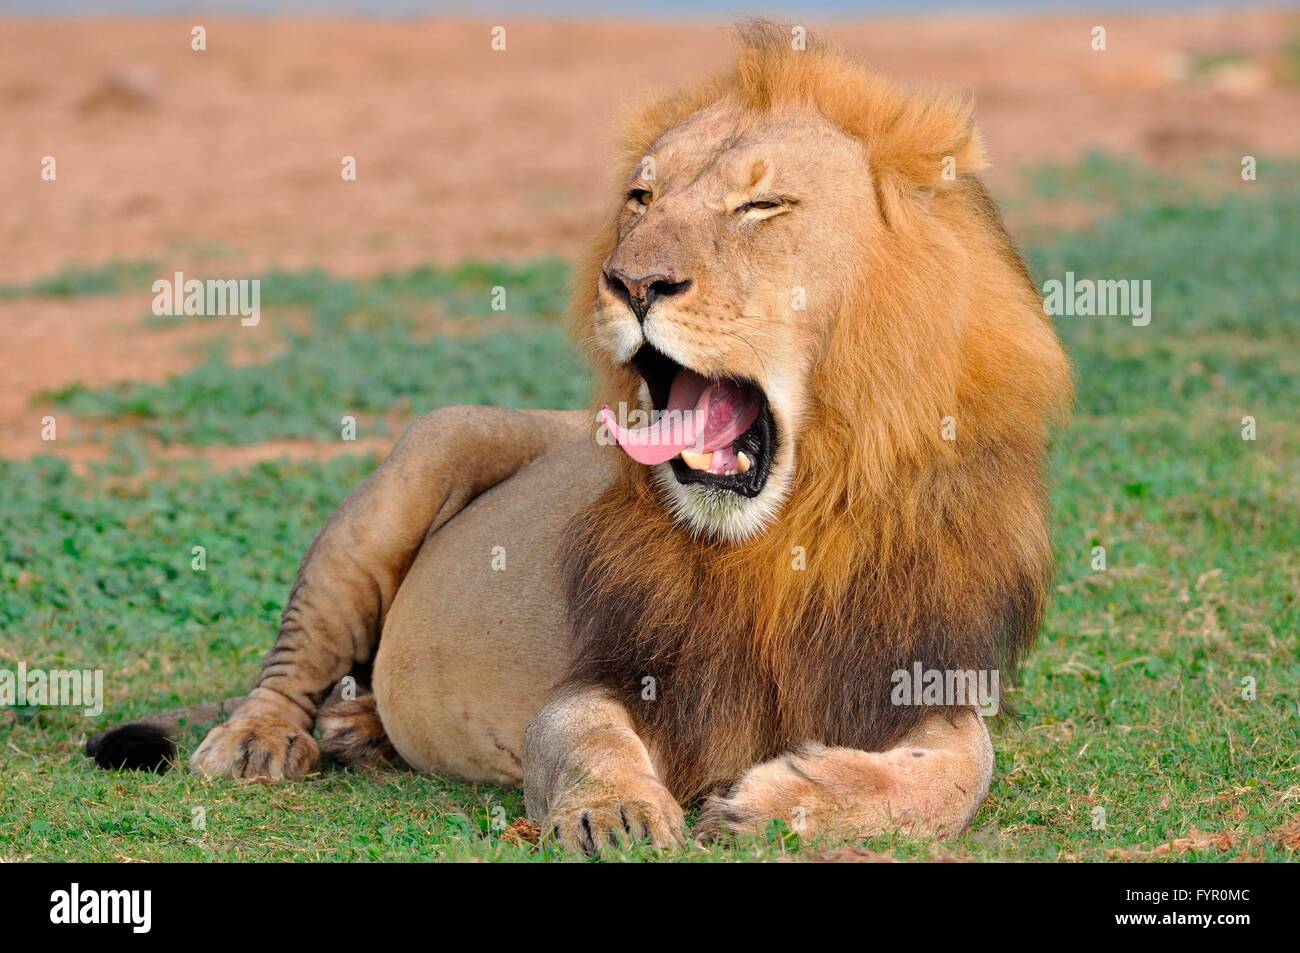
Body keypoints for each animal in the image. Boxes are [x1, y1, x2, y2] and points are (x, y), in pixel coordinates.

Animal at [88, 23, 1071, 853]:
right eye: (641, 196)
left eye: (761, 205)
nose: (631, 280)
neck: (783, 536)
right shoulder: (620, 668)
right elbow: (579, 731)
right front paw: (614, 811)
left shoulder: (909, 662)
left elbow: (964, 765)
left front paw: (777, 801)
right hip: (422, 456)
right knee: (295, 655)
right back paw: (261, 739)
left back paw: (355, 725)